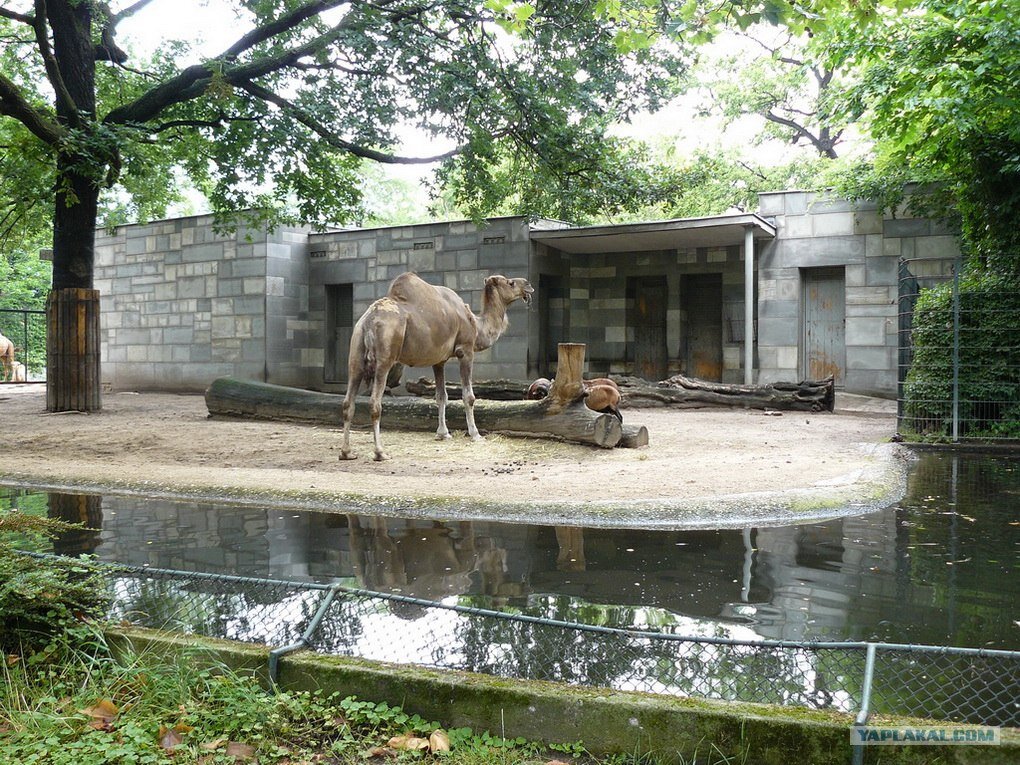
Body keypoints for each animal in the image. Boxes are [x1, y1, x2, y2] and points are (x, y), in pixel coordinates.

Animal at [340, 273, 534, 461]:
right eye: (510, 282)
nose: (528, 284)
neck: (475, 324)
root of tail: (369, 321)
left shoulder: (438, 360)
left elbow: (441, 396)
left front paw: (443, 433)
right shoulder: (465, 350)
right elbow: (469, 397)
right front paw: (475, 434)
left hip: (356, 353)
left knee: (348, 402)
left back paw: (347, 452)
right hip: (385, 355)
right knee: (375, 403)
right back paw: (380, 453)